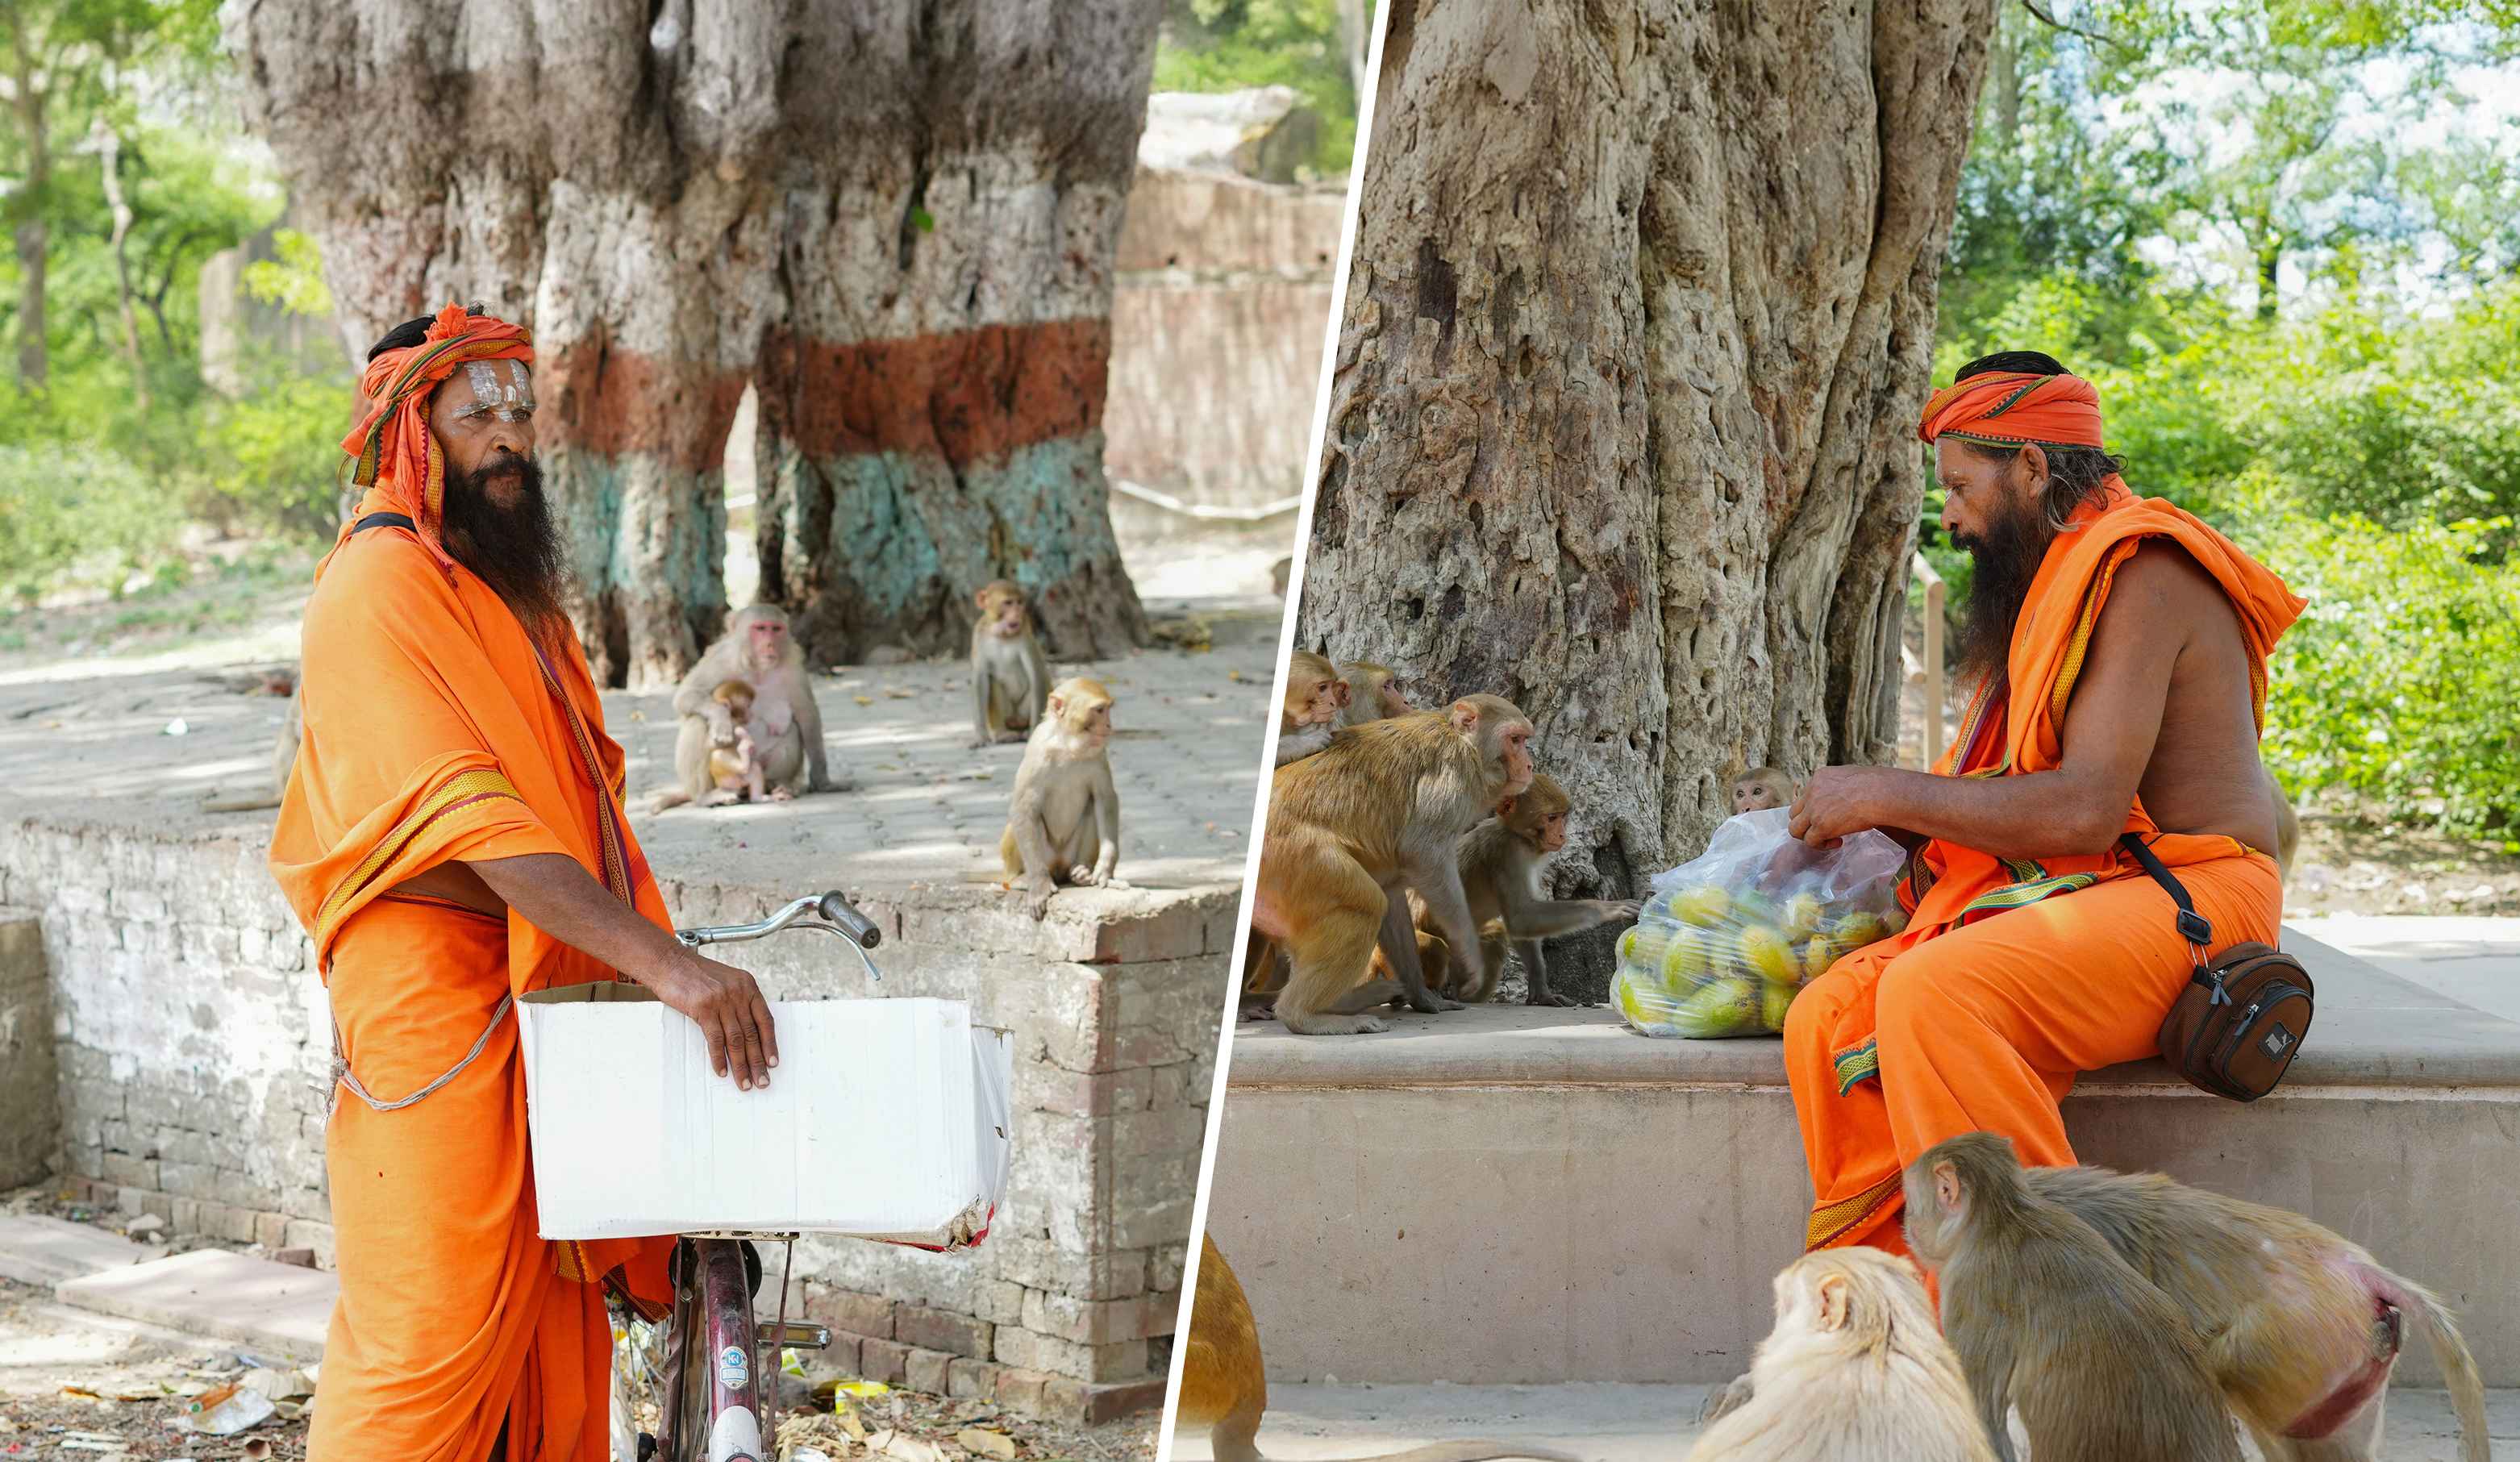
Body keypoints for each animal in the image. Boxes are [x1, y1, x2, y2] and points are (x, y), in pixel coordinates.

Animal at [655, 604, 834, 811]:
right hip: (723, 776)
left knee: (792, 731)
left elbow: (807, 715)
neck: (758, 669)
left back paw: (777, 787)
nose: (770, 644)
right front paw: (722, 720)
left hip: (757, 770)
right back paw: (706, 796)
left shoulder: (793, 670)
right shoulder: (722, 659)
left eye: (776, 629)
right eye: (760, 629)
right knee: (697, 722)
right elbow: (686, 695)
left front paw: (821, 778)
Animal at [970, 579, 1053, 747]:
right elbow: (980, 681)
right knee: (992, 682)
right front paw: (980, 736)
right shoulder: (979, 634)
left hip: (1023, 713)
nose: (1017, 612)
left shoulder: (1026, 633)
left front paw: (1034, 733)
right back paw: (1003, 734)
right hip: (1010, 717)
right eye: (1008, 603)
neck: (1001, 634)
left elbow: (1037, 676)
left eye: (1019, 602)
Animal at [999, 677, 1122, 915]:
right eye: (1099, 710)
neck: (1068, 746)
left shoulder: (1099, 753)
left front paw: (1105, 868)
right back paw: (1021, 878)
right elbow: (1023, 809)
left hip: (1068, 855)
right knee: (1024, 820)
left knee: (1092, 806)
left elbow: (1105, 799)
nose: (1109, 726)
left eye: (1108, 709)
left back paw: (1081, 872)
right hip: (1043, 857)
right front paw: (1039, 885)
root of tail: (1057, 866)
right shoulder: (1037, 750)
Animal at [1252, 695, 1536, 1034]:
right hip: (1295, 856)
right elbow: (1423, 852)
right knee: (1363, 904)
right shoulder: (1450, 780)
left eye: (1525, 739)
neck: (1465, 745)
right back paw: (1305, 1015)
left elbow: (1392, 896)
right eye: (1515, 740)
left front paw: (1423, 996)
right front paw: (1470, 957)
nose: (1530, 766)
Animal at [1406, 773, 1638, 1006]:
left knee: (1496, 936)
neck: (1520, 836)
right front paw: (1606, 909)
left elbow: (1523, 926)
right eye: (1551, 818)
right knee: (1434, 947)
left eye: (1562, 817)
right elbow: (1521, 916)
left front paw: (1541, 991)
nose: (1562, 835)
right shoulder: (1508, 853)